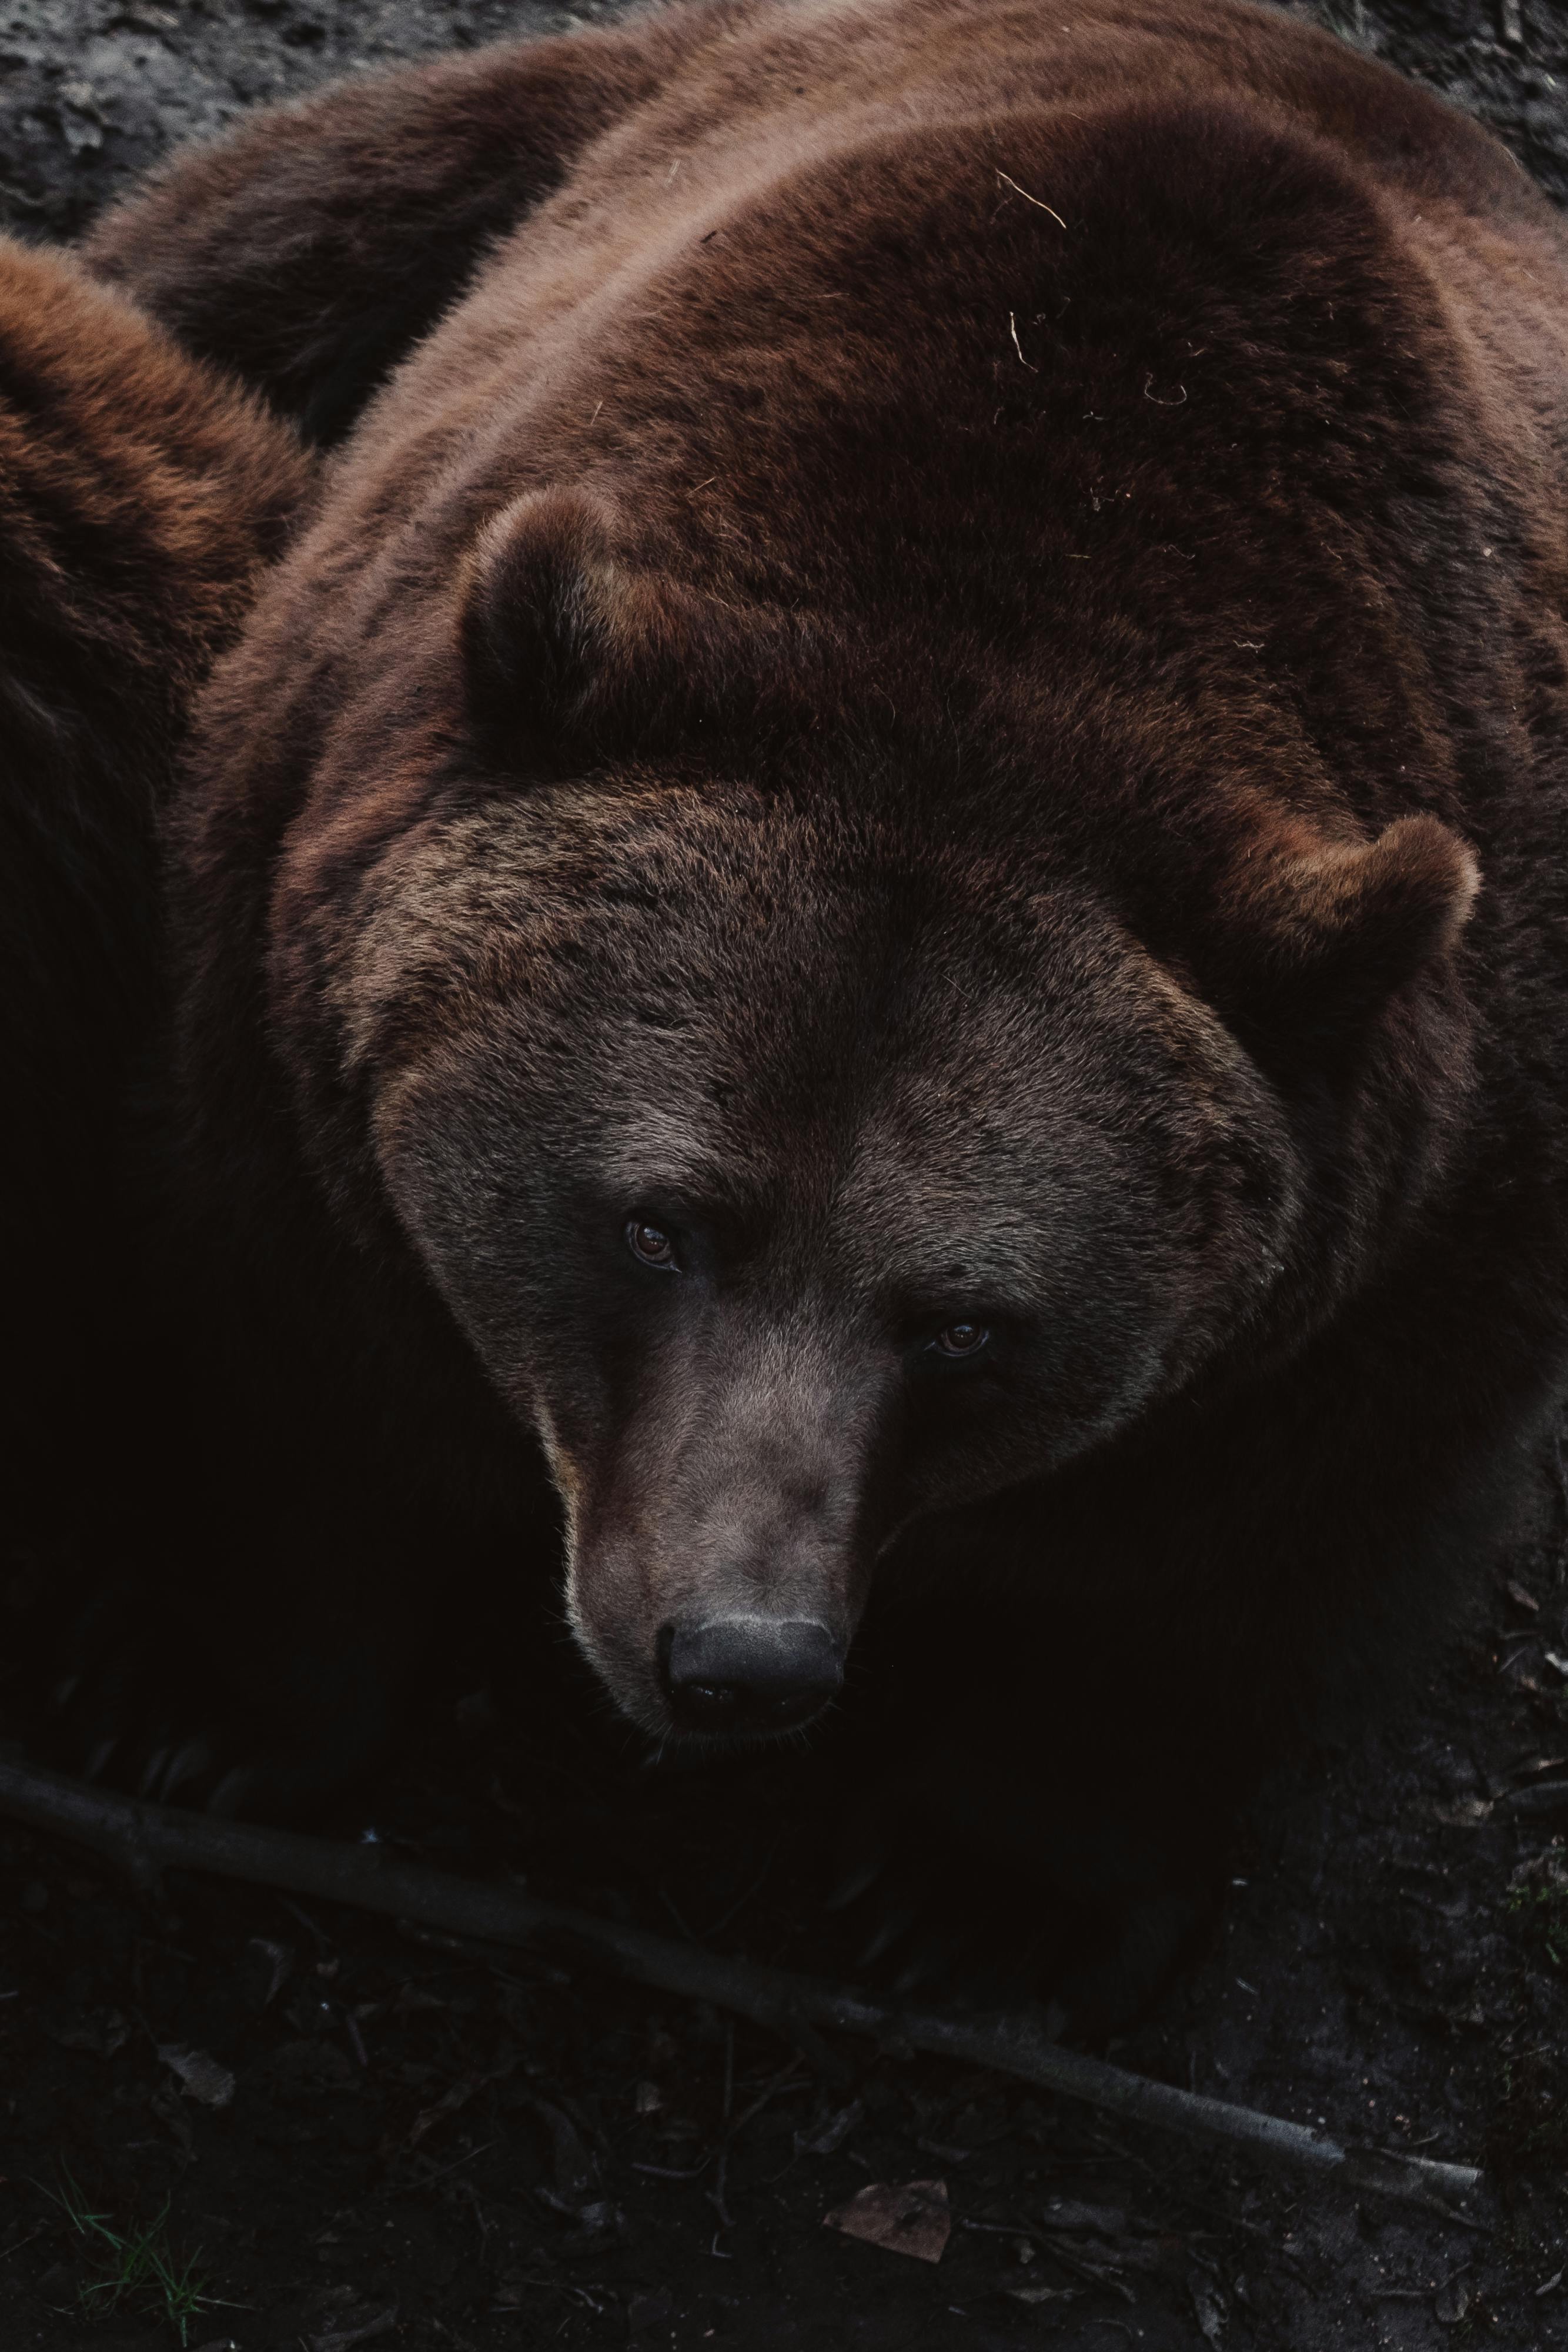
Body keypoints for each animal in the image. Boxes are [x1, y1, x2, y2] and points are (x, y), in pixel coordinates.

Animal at [72, 0, 1568, 2018]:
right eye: (656, 1220)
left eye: (967, 1323)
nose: (735, 1655)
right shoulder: (290, 908)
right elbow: (294, 1332)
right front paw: (213, 1707)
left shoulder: (1429, 1191)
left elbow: (1252, 1557)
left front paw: (986, 1892)